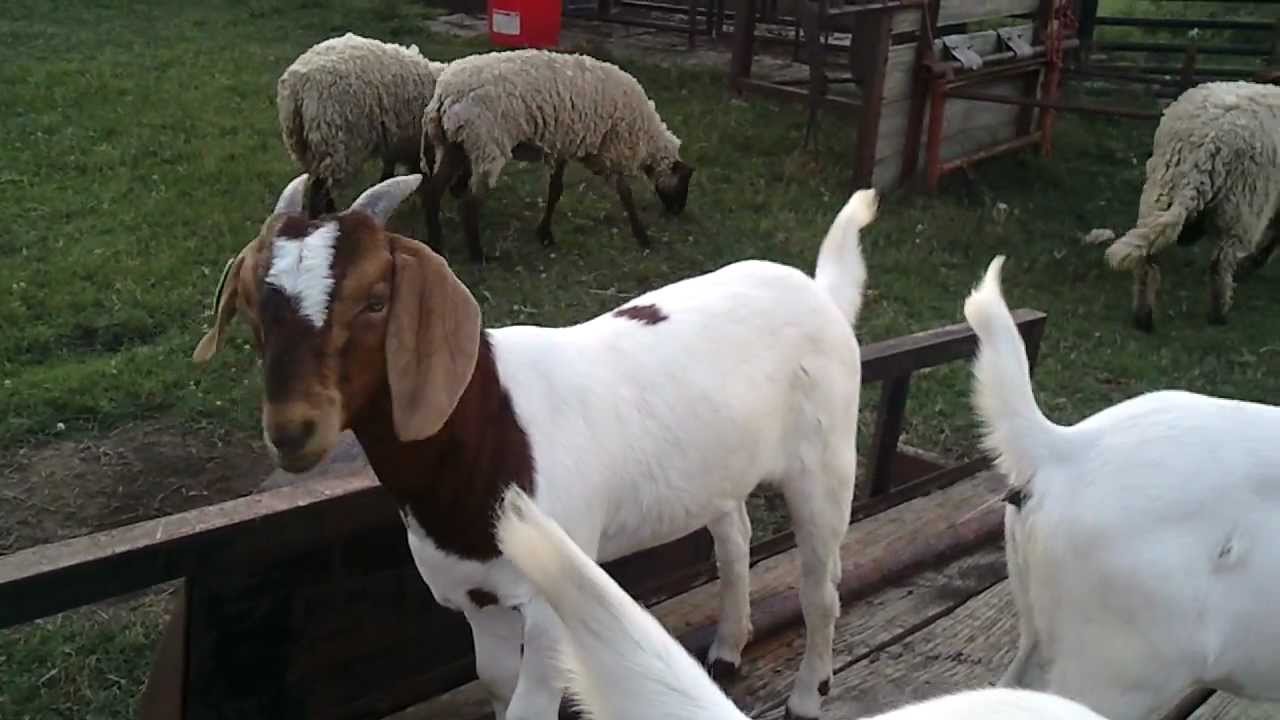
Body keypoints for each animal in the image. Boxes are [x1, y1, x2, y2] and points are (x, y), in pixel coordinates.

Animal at [192, 172, 876, 720]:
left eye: (376, 301)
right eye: (251, 309)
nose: (292, 430)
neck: (489, 434)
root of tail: (821, 293)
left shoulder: (552, 606)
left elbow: (533, 701)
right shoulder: (476, 595)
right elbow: (495, 682)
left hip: (826, 462)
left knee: (820, 587)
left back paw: (808, 695)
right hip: (718, 463)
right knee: (733, 538)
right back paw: (729, 648)